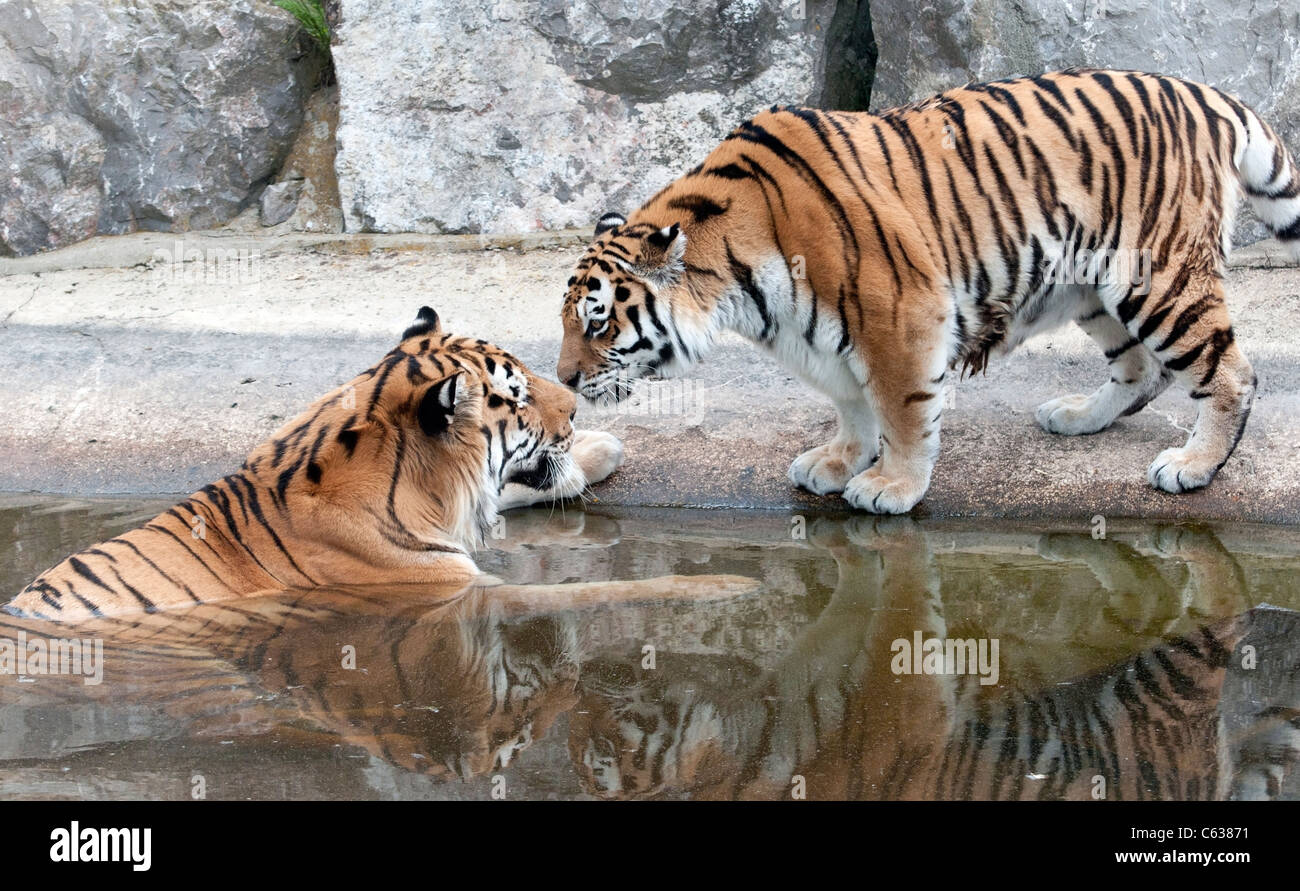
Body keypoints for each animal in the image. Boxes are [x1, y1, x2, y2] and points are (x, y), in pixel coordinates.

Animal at [557, 69, 1300, 513]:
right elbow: (852, 405)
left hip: (1156, 276)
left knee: (1229, 373)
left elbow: (904, 410)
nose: (562, 382)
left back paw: (1193, 466)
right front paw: (837, 460)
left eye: (597, 322)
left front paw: (893, 485)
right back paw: (1077, 416)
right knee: (1143, 368)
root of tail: (1208, 94)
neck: (738, 285)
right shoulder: (818, 336)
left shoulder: (899, 316)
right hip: (1092, 284)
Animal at [569, 518, 1300, 800]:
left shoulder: (905, 706)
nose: (579, 677)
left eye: (603, 745)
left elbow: (893, 601)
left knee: (1223, 604)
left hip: (1165, 683)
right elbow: (855, 592)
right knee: (1147, 600)